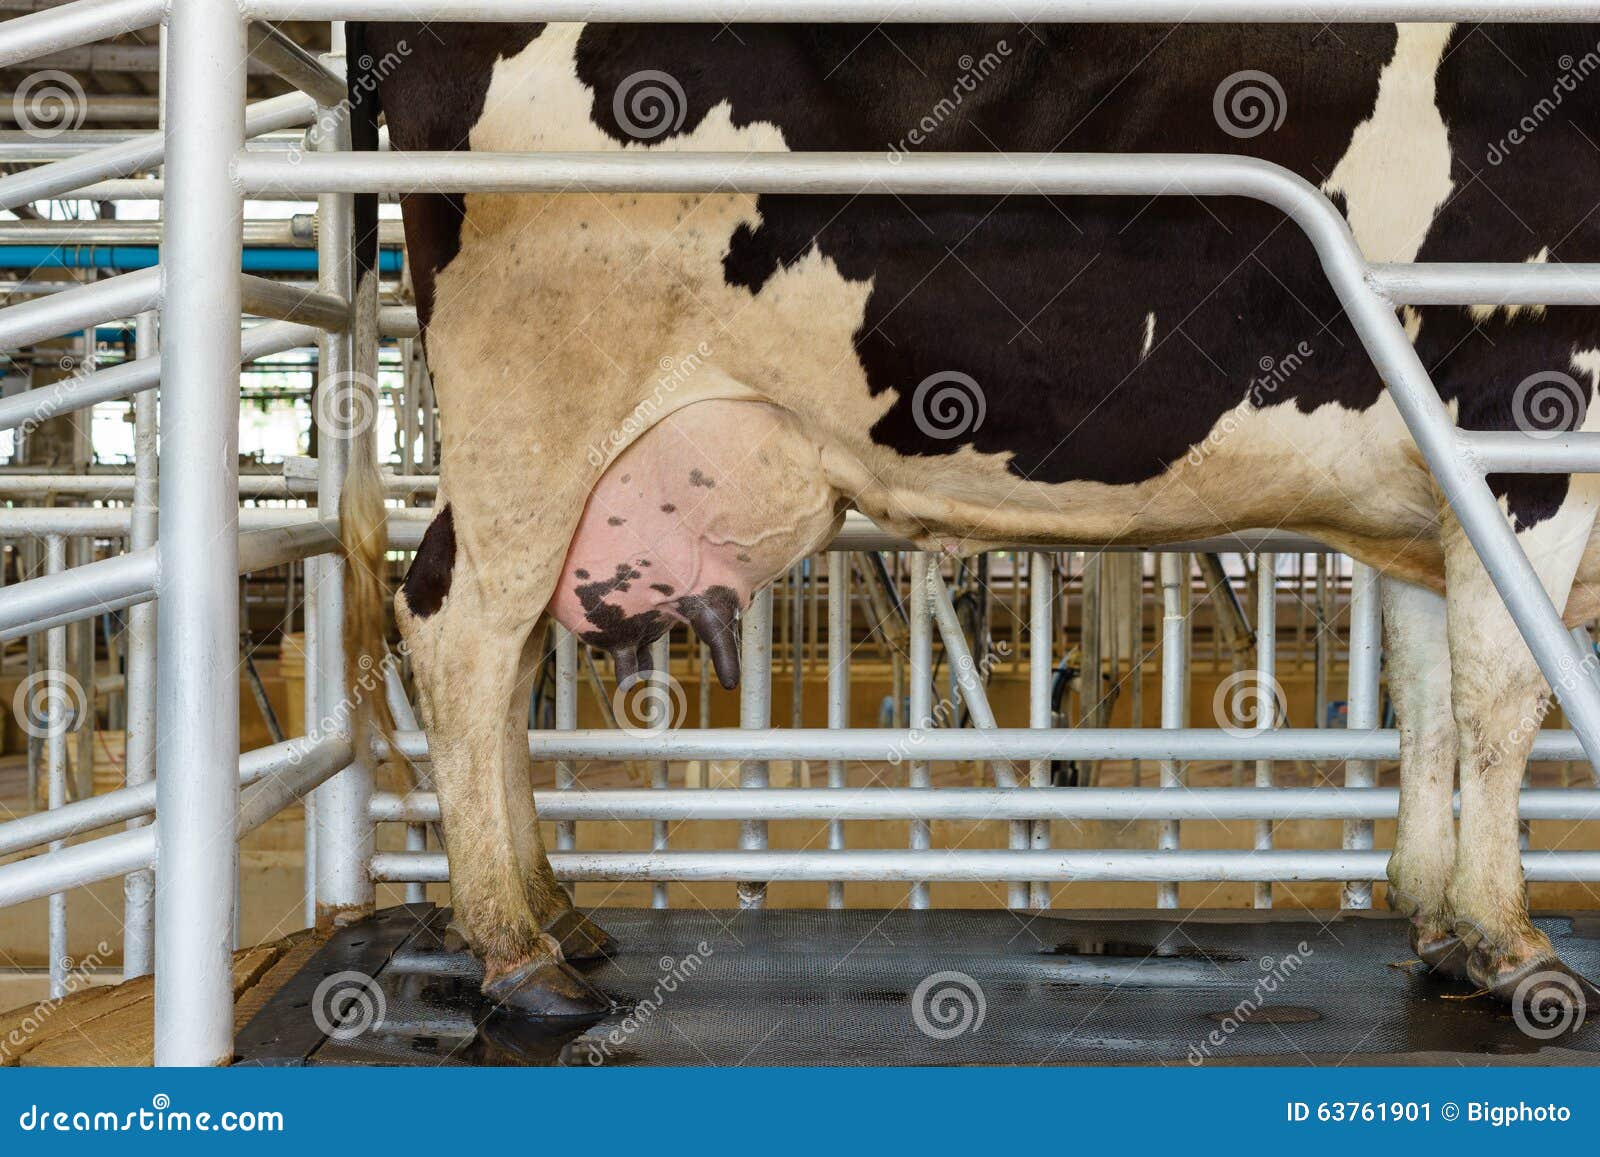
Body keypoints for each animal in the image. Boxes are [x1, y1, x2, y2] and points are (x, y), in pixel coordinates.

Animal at [342, 20, 1600, 1022]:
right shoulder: (1523, 436)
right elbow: (1505, 705)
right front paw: (1514, 942)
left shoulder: (1425, 505)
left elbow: (1430, 707)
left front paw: (1439, 924)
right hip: (537, 411)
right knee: (462, 634)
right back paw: (517, 953)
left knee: (504, 657)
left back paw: (555, 909)